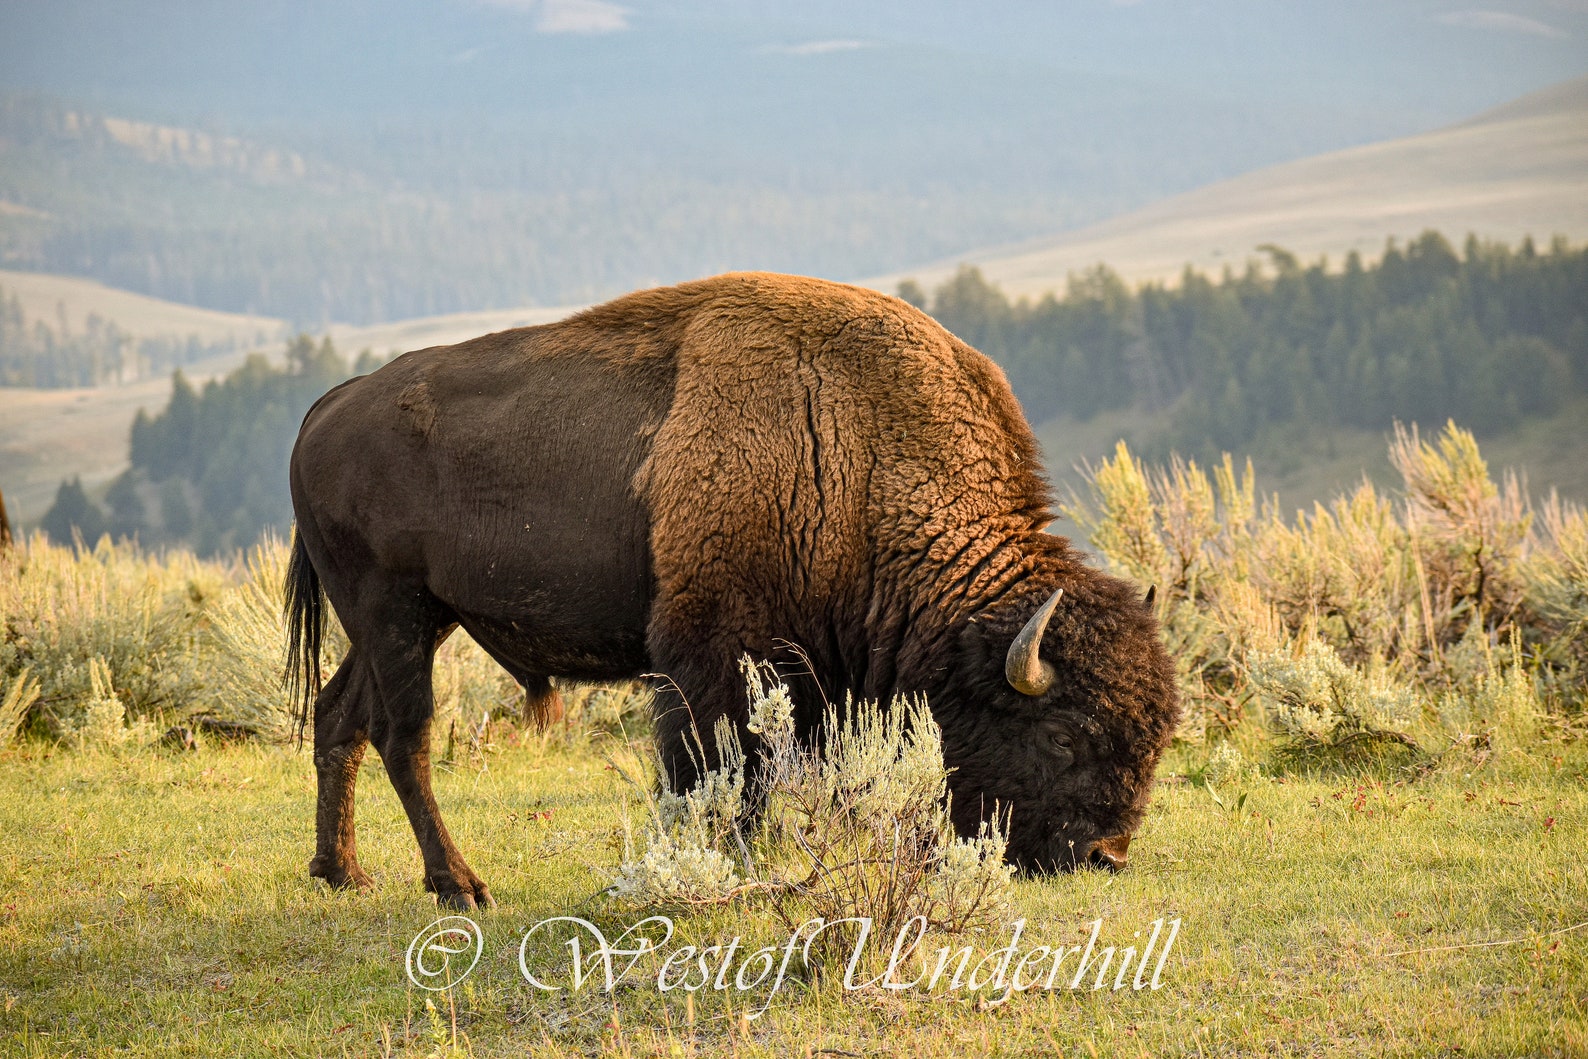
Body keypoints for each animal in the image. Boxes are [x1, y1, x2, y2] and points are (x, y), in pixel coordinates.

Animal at [285, 272, 1180, 909]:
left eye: (1156, 738)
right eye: (1065, 734)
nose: (1105, 856)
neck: (860, 453)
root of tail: (327, 406)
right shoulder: (710, 649)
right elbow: (716, 761)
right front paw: (720, 855)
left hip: (409, 620)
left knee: (339, 717)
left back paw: (341, 871)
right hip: (393, 613)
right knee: (405, 736)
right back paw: (459, 886)